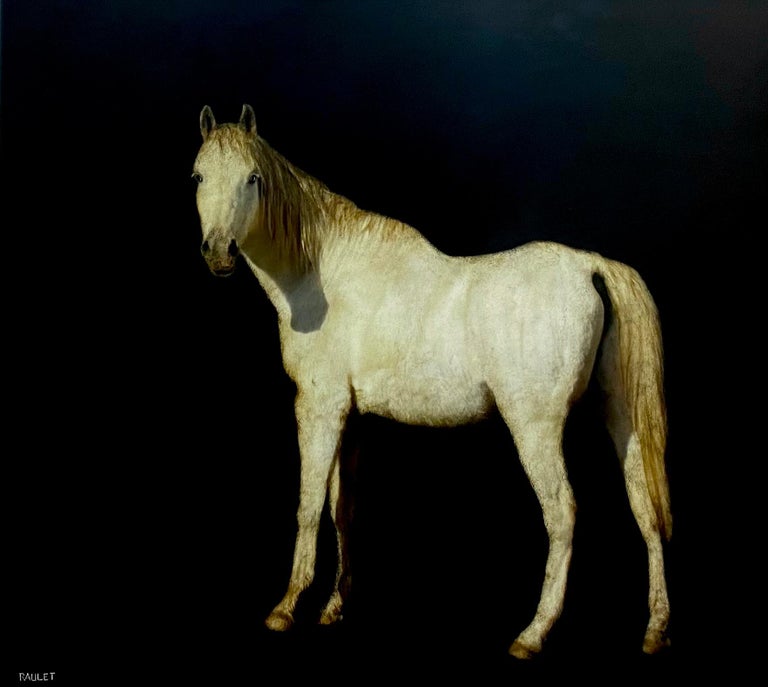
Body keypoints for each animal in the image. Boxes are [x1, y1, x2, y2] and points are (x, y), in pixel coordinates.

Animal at [191, 104, 672, 658]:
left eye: (252, 178)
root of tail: (591, 266)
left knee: (563, 514)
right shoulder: (352, 417)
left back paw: (532, 634)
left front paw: (287, 607)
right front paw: (334, 607)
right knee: (645, 508)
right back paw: (656, 627)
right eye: (198, 176)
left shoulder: (318, 406)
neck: (324, 276)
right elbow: (341, 508)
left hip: (534, 427)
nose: (219, 252)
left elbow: (308, 505)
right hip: (622, 418)